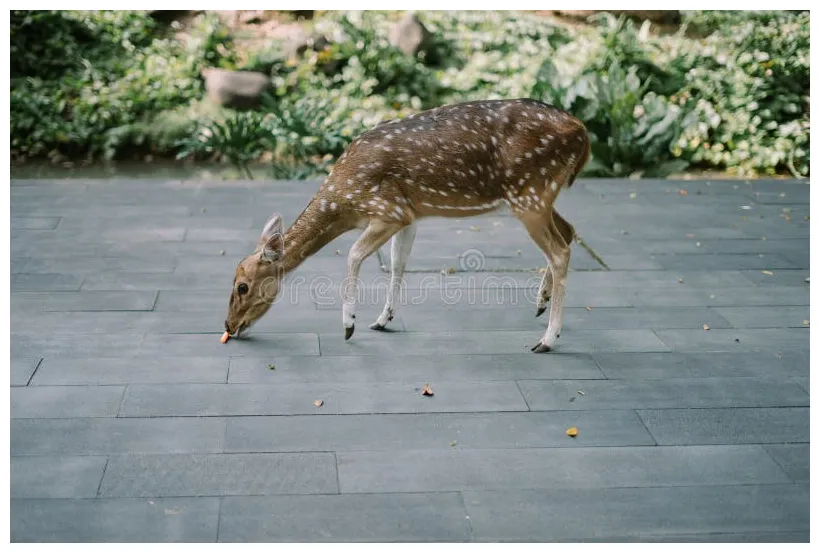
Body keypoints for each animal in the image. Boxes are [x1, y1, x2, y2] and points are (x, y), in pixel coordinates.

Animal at [224, 98, 590, 353]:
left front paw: (349, 325)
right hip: (538, 197)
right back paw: (541, 304)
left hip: (529, 193)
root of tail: (582, 133)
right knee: (569, 231)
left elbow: (354, 254)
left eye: (241, 286)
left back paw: (547, 339)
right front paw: (382, 320)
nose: (228, 325)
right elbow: (398, 262)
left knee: (560, 251)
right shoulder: (411, 213)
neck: (343, 198)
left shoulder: (389, 209)